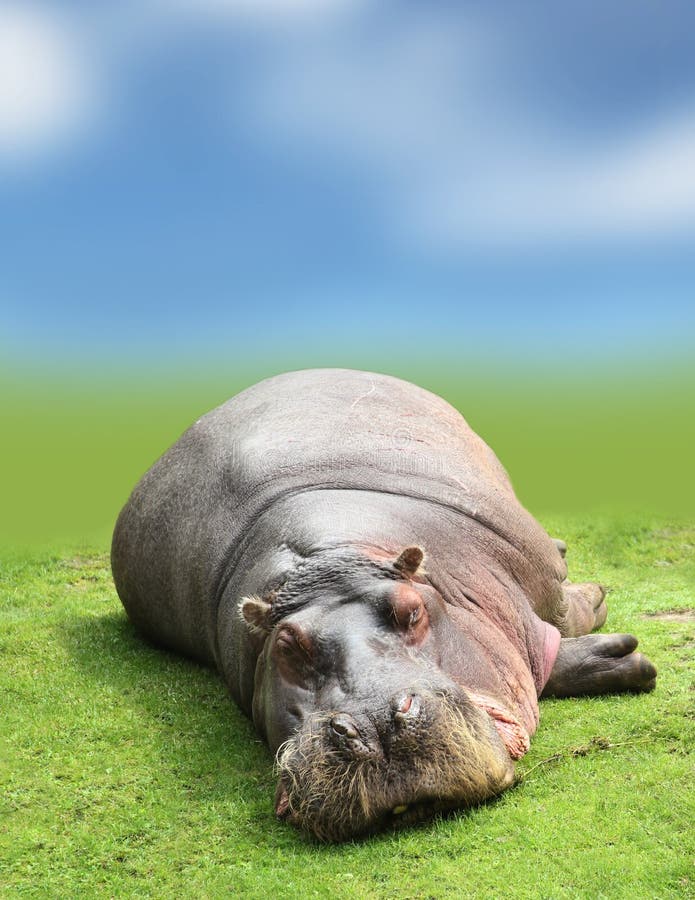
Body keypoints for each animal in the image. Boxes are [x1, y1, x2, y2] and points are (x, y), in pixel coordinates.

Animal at [111, 368, 656, 841]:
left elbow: (567, 613)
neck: (335, 560)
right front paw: (625, 658)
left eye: (412, 610)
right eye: (286, 646)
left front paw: (612, 631)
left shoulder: (541, 576)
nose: (374, 724)